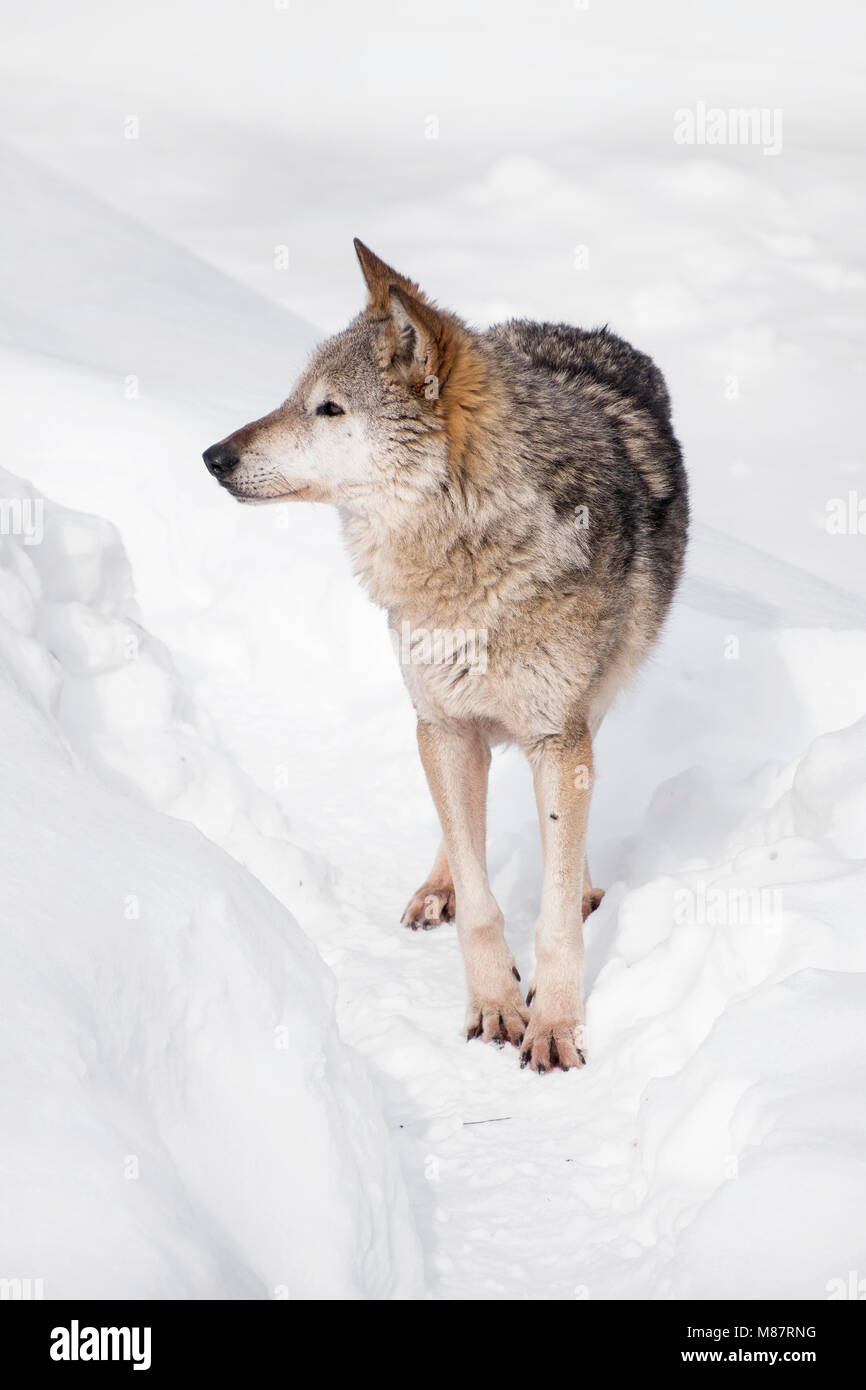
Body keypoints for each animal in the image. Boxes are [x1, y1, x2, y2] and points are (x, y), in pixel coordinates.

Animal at [203, 240, 688, 1072]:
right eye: (294, 398)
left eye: (329, 409)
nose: (213, 456)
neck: (468, 556)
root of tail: (573, 329)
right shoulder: (443, 721)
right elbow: (482, 896)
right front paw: (494, 1004)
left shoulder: (557, 734)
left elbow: (553, 911)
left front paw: (555, 1024)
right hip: (441, 724)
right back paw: (439, 887)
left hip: (592, 699)